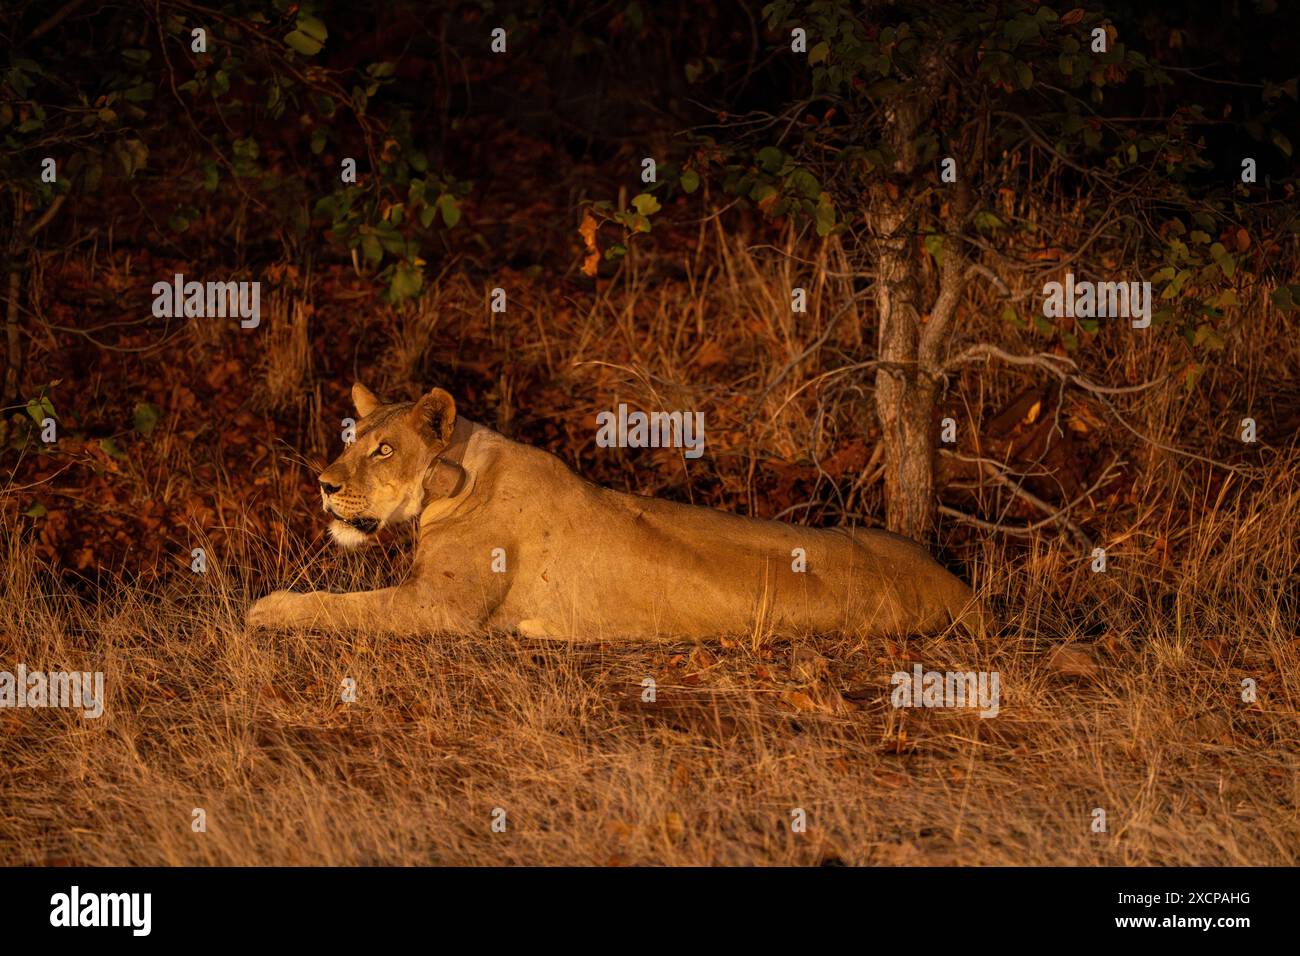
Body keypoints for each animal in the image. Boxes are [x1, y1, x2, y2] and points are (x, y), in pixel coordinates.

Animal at [247, 383, 987, 640]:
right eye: (351, 440)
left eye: (383, 450)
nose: (322, 484)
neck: (456, 478)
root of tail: (966, 593)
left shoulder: (442, 608)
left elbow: (340, 608)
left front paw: (267, 607)